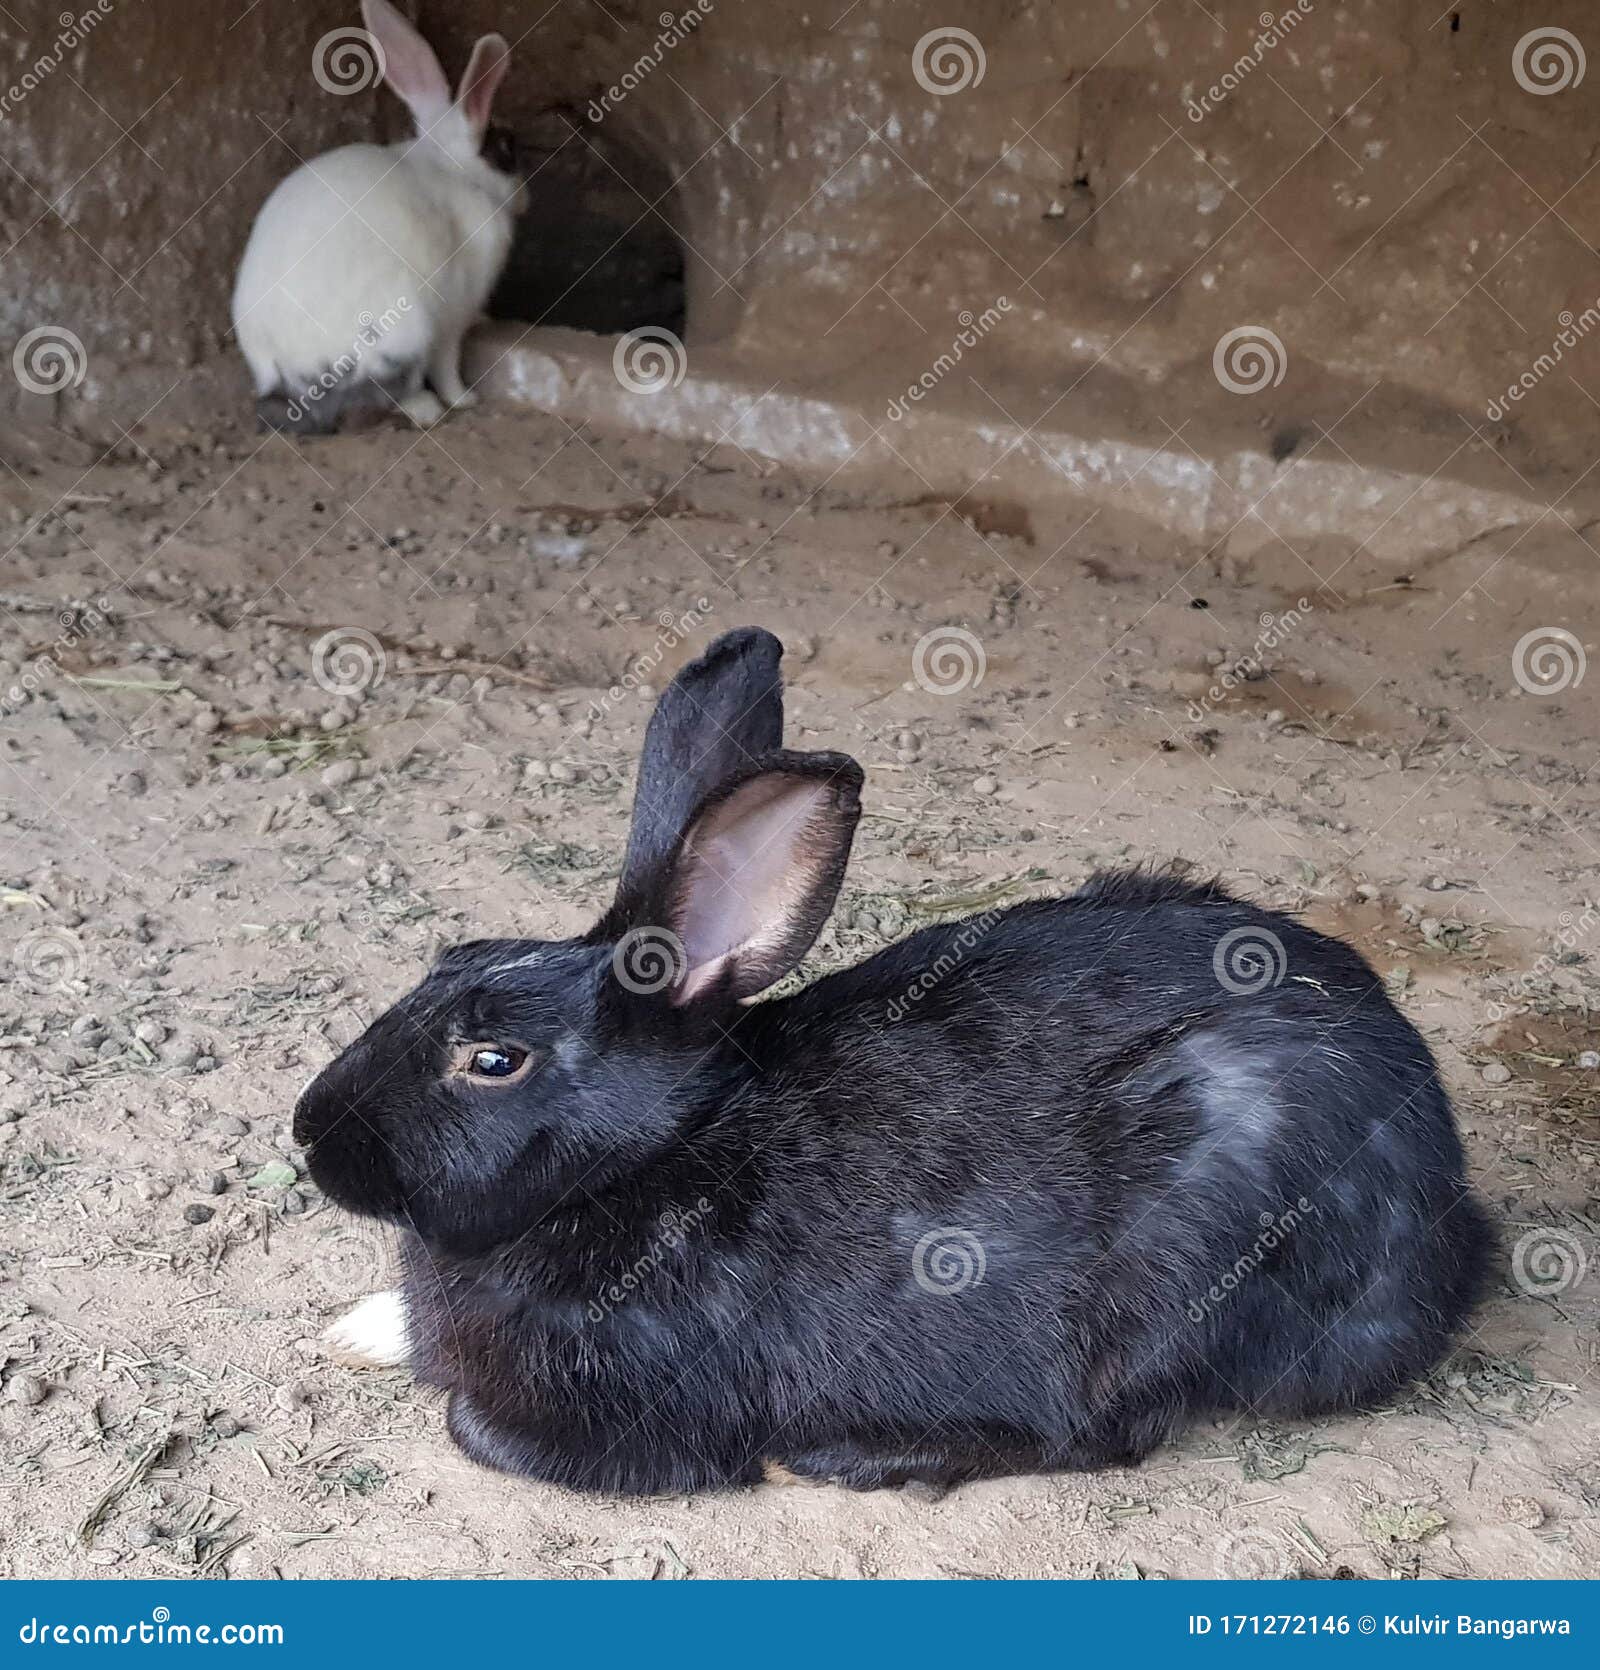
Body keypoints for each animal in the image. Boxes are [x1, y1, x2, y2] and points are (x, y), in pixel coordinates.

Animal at [231, 0, 523, 434]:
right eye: (505, 149)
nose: (524, 194)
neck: (454, 170)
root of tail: (290, 370)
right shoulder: (453, 315)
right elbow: (448, 365)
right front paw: (466, 399)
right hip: (407, 330)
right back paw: (426, 409)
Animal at [294, 626, 1492, 1497]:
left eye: (493, 1058)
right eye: (445, 957)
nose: (309, 1136)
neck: (662, 1153)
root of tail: (1453, 1225)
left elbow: (476, 1426)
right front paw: (361, 1325)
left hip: (1199, 1231)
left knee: (1108, 1426)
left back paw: (859, 1457)